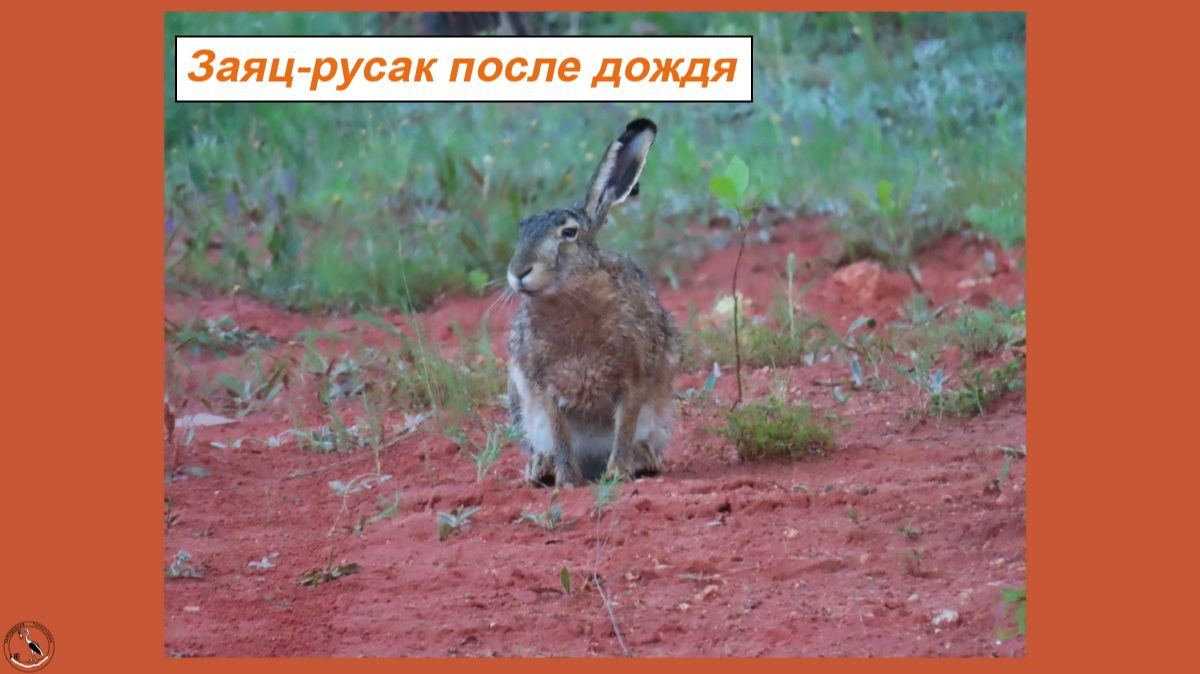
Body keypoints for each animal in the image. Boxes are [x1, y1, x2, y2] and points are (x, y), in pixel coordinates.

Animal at [505, 118, 680, 487]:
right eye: (521, 231)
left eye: (569, 233)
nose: (519, 272)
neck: (570, 298)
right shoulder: (543, 387)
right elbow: (559, 433)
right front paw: (569, 481)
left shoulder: (633, 376)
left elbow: (625, 425)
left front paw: (618, 472)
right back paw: (541, 467)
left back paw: (643, 459)